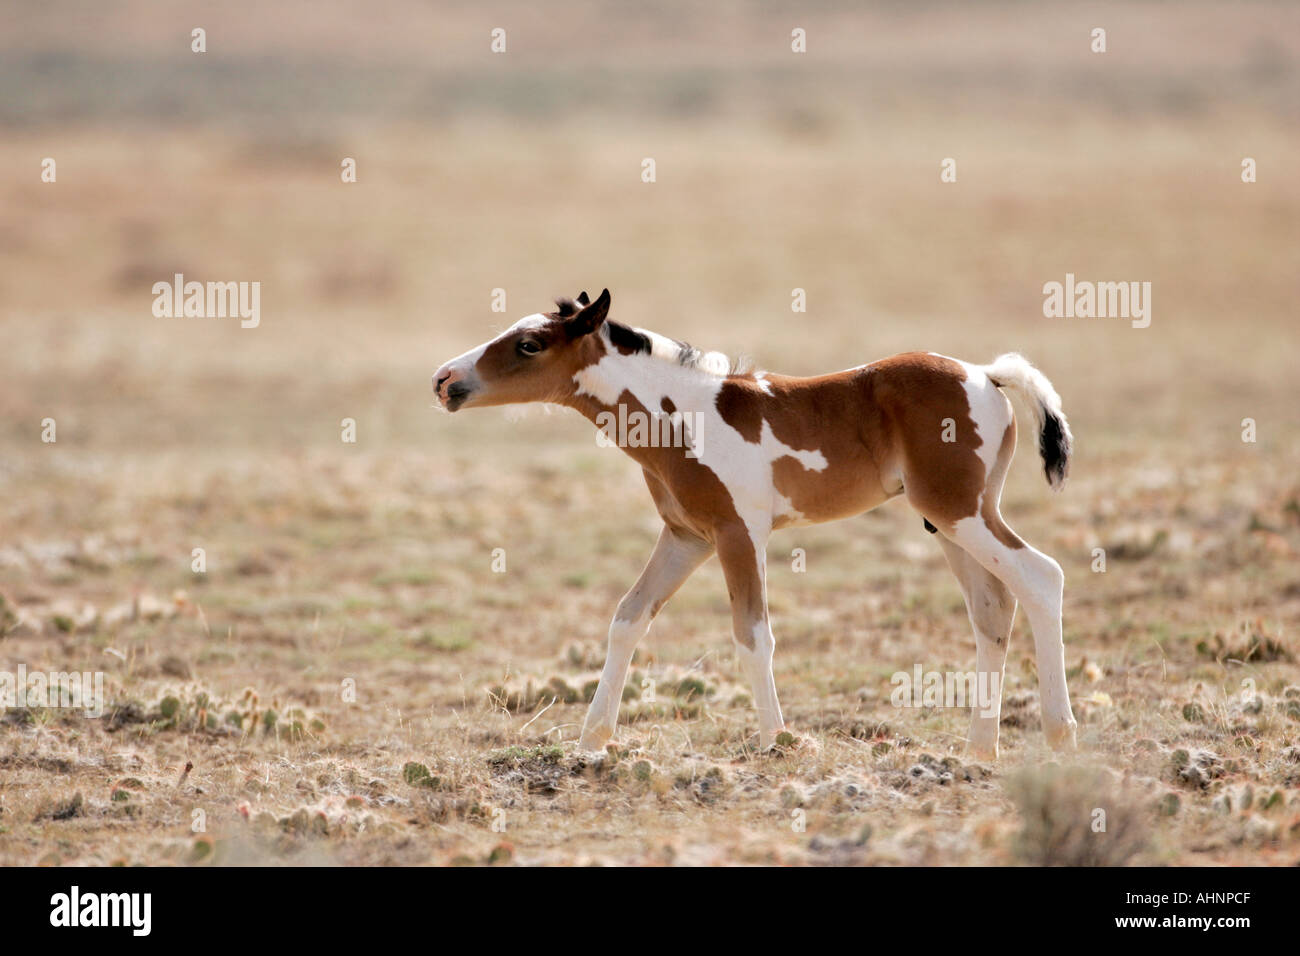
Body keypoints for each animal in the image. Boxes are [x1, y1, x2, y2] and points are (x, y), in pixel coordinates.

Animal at [433, 289, 1078, 758]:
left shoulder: (739, 534)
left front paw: (776, 743)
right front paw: (591, 742)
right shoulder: (686, 538)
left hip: (960, 512)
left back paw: (1059, 735)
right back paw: (979, 752)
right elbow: (627, 618)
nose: (444, 380)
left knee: (1041, 576)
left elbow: (752, 635)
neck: (682, 417)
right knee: (993, 610)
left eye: (530, 344)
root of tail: (986, 374)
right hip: (946, 522)